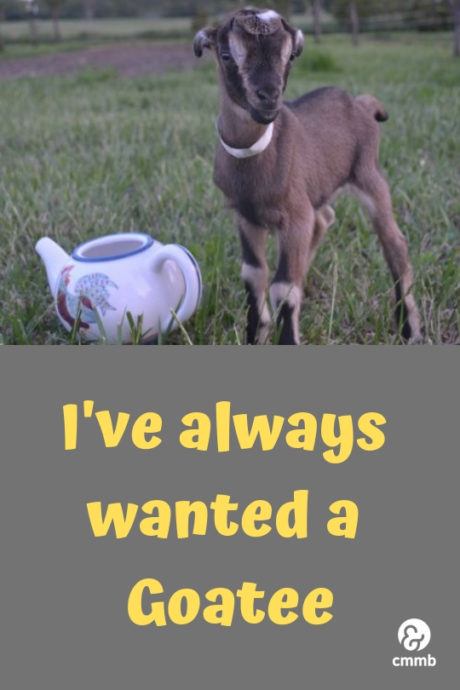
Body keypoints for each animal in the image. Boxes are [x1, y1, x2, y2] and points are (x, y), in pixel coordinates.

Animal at [194, 7, 421, 344]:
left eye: (289, 56)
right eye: (226, 54)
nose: (269, 97)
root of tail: (360, 104)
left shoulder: (294, 215)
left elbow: (283, 287)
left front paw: (285, 336)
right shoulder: (246, 216)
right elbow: (253, 274)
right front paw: (256, 333)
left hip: (369, 175)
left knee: (395, 242)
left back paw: (409, 327)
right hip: (316, 192)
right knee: (324, 218)